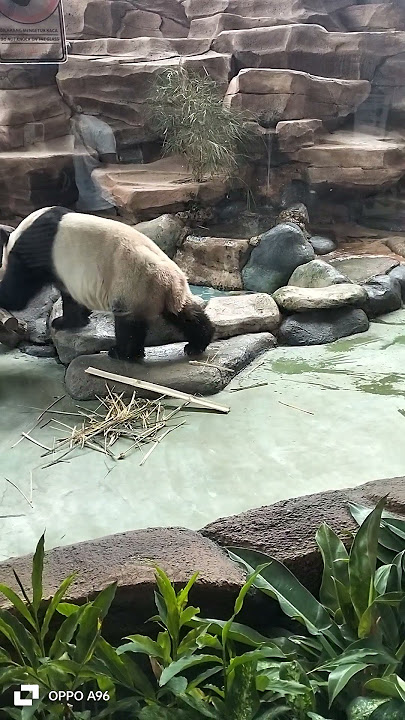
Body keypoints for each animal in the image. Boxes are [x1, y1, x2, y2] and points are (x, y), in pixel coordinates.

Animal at [0, 206, 214, 361]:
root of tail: (169, 282)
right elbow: (71, 298)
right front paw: (69, 321)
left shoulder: (34, 251)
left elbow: (18, 295)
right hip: (167, 292)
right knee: (186, 314)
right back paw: (197, 344)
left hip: (133, 284)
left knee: (128, 325)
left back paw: (122, 353)